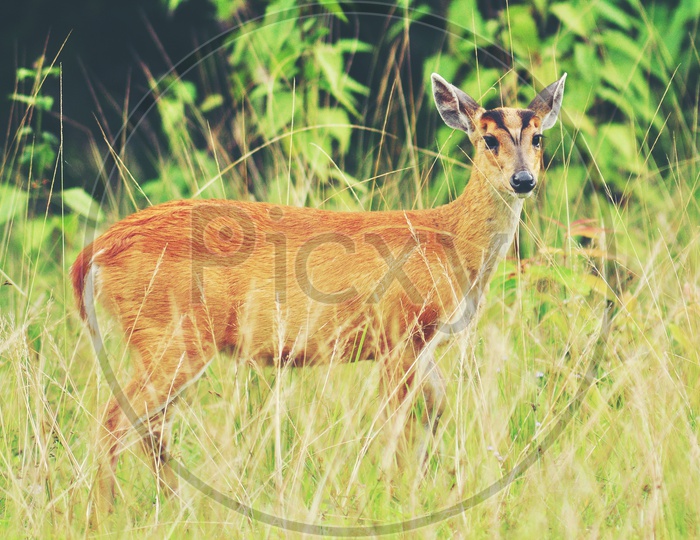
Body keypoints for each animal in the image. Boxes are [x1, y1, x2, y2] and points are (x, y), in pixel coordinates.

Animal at [71, 72, 566, 523]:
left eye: (538, 137)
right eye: (488, 139)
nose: (523, 180)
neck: (450, 244)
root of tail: (94, 252)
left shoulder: (419, 342)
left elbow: (435, 409)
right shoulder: (399, 330)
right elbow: (399, 423)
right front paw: (394, 499)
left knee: (147, 425)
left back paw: (176, 508)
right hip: (171, 335)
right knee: (115, 419)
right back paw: (106, 516)